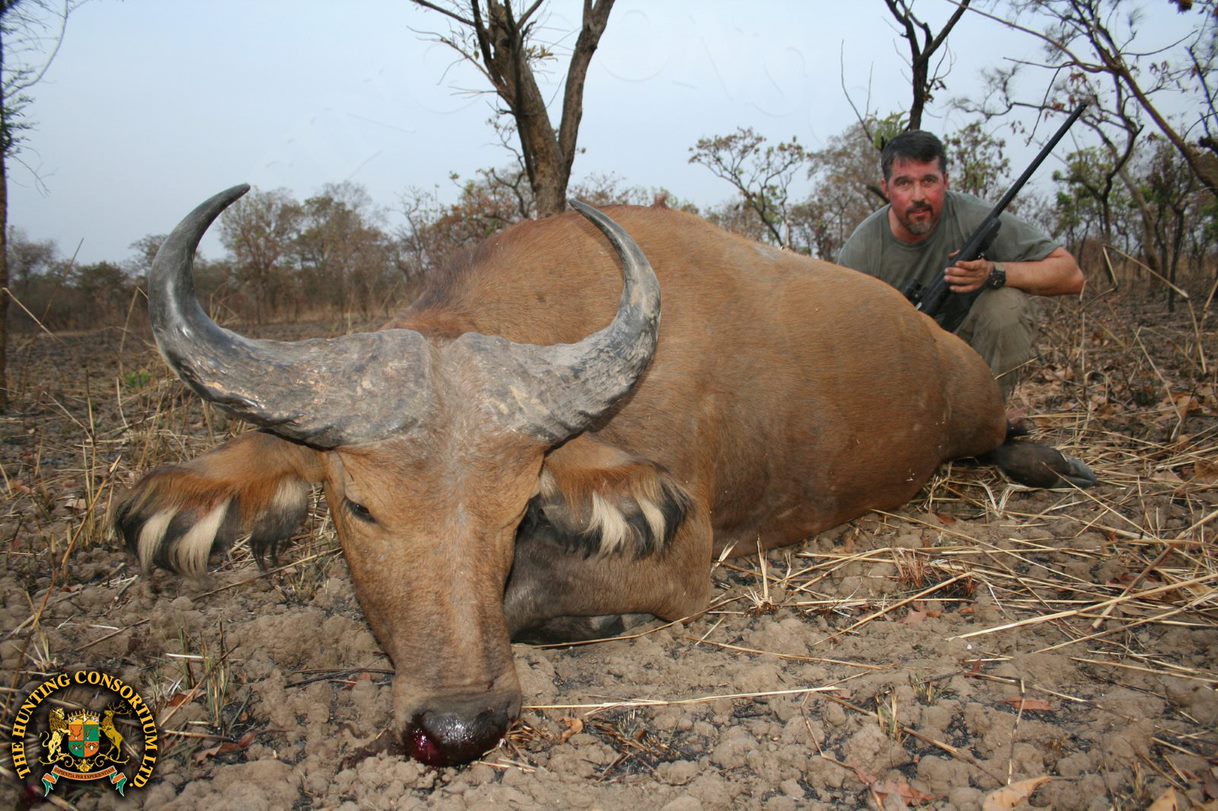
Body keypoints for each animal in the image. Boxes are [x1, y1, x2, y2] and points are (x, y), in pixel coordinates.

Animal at [117, 185, 1093, 766]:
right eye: (357, 505)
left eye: (515, 508)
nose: (459, 725)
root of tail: (932, 340)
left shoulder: (685, 560)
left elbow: (532, 593)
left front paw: (589, 620)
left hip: (977, 408)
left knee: (1003, 431)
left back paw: (1048, 457)